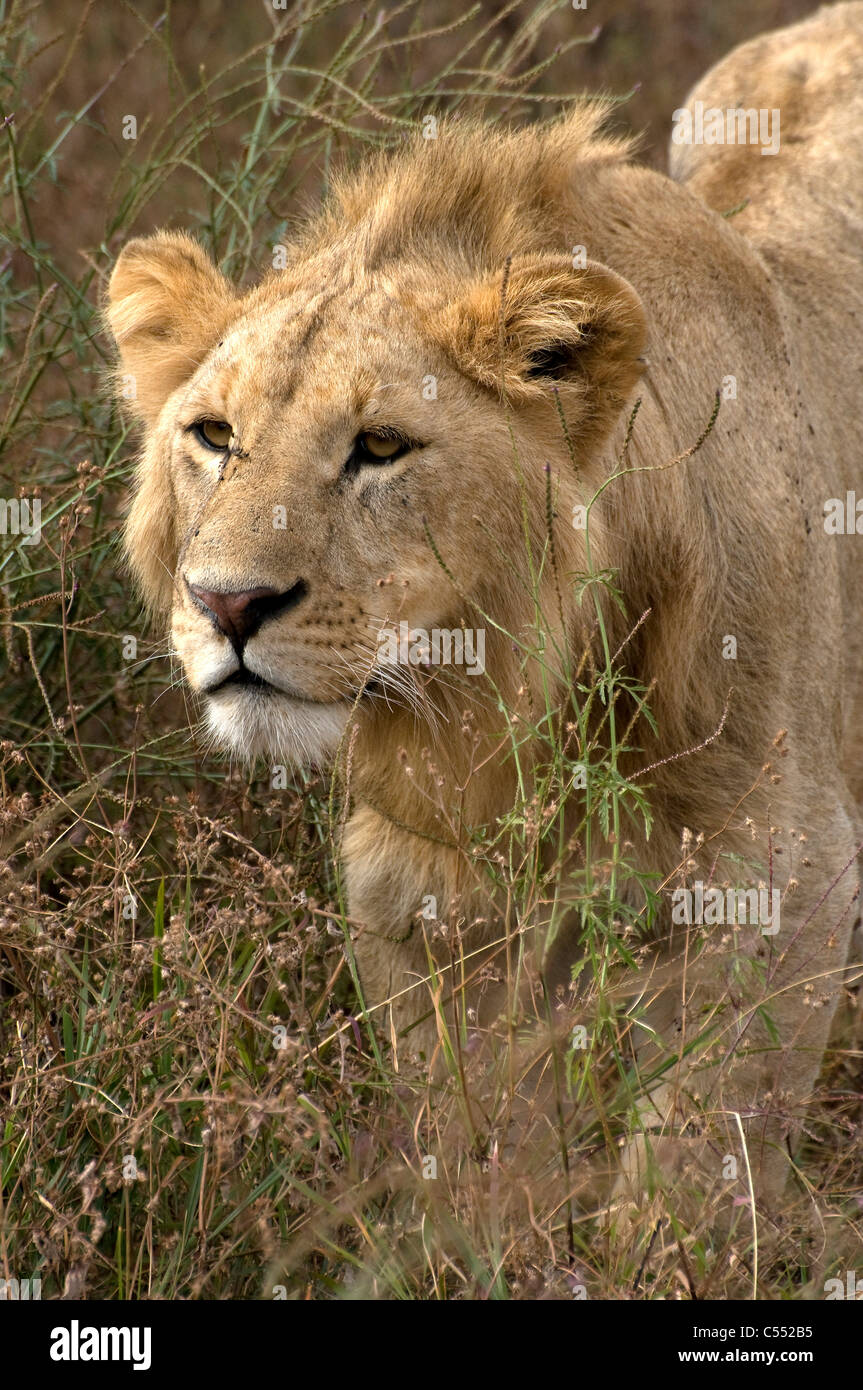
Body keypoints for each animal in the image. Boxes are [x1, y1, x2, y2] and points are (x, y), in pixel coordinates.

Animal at [107, 2, 863, 1220]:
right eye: (214, 436)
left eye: (379, 446)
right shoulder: (415, 890)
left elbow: (690, 1166)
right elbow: (470, 1131)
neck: (503, 701)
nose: (226, 602)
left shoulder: (787, 883)